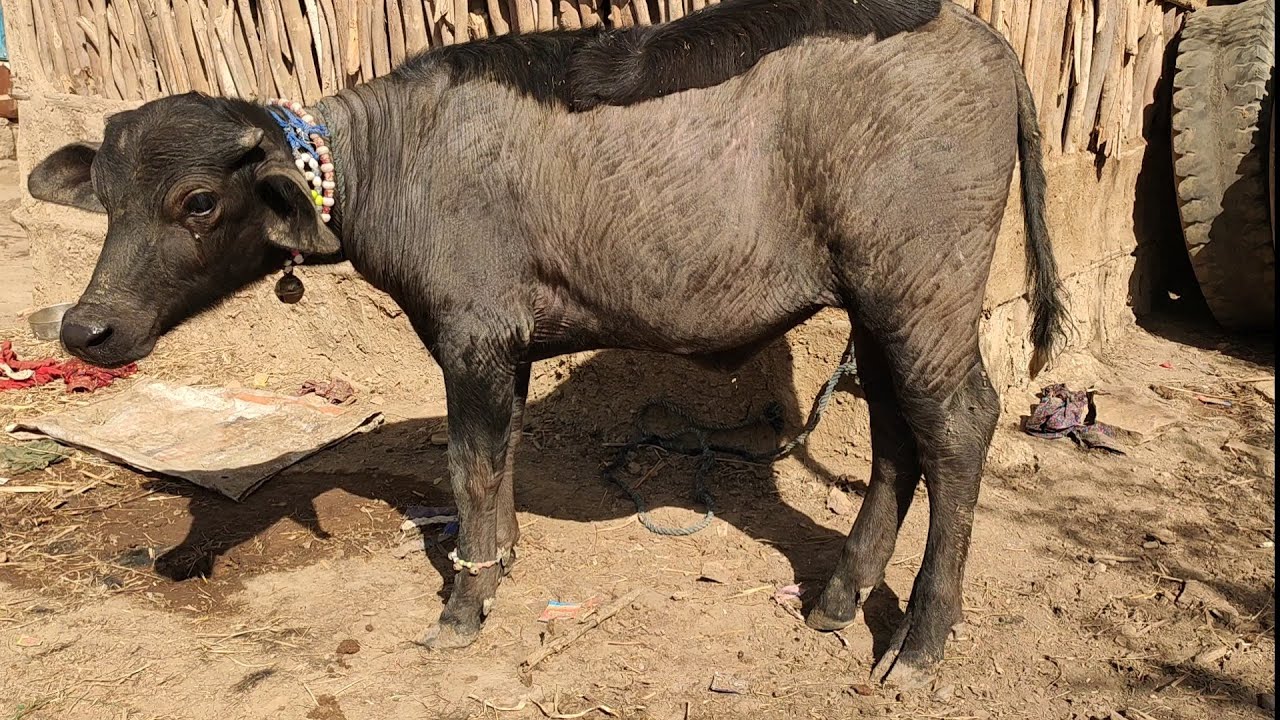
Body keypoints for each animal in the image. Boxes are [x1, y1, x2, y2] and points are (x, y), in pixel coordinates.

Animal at [26, 1, 1065, 688]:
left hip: (921, 286)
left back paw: (919, 645)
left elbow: (468, 465)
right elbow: (504, 460)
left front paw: (463, 609)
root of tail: (987, 43)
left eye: (198, 202)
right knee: (896, 431)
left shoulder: (472, 334)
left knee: (960, 423)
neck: (390, 159)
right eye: (107, 198)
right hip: (876, 301)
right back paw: (840, 600)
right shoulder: (512, 346)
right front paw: (501, 563)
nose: (86, 328)